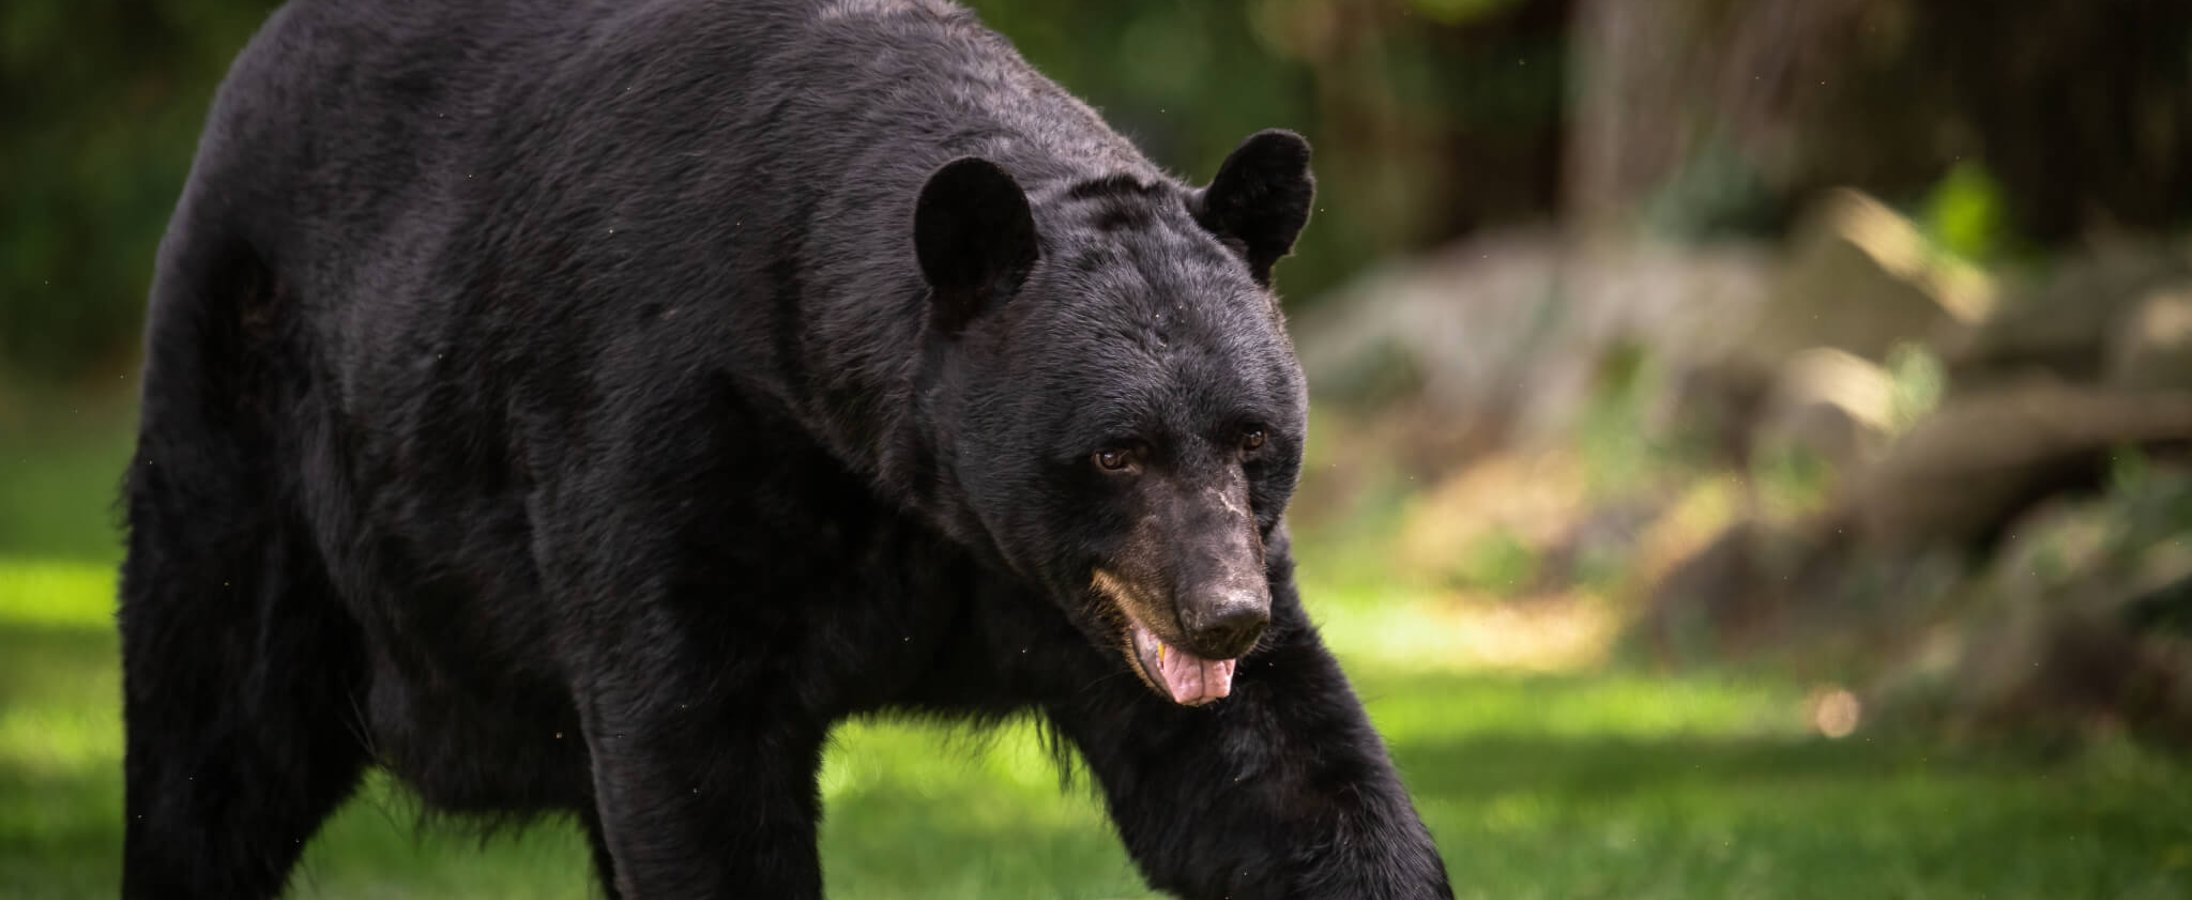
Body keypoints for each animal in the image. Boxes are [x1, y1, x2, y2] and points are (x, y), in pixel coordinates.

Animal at [117, 0, 1455, 897]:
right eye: (1113, 451)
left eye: (1253, 436)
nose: (1222, 616)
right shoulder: (673, 447)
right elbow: (693, 757)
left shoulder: (1051, 584)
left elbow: (1274, 774)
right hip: (253, 430)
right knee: (212, 736)